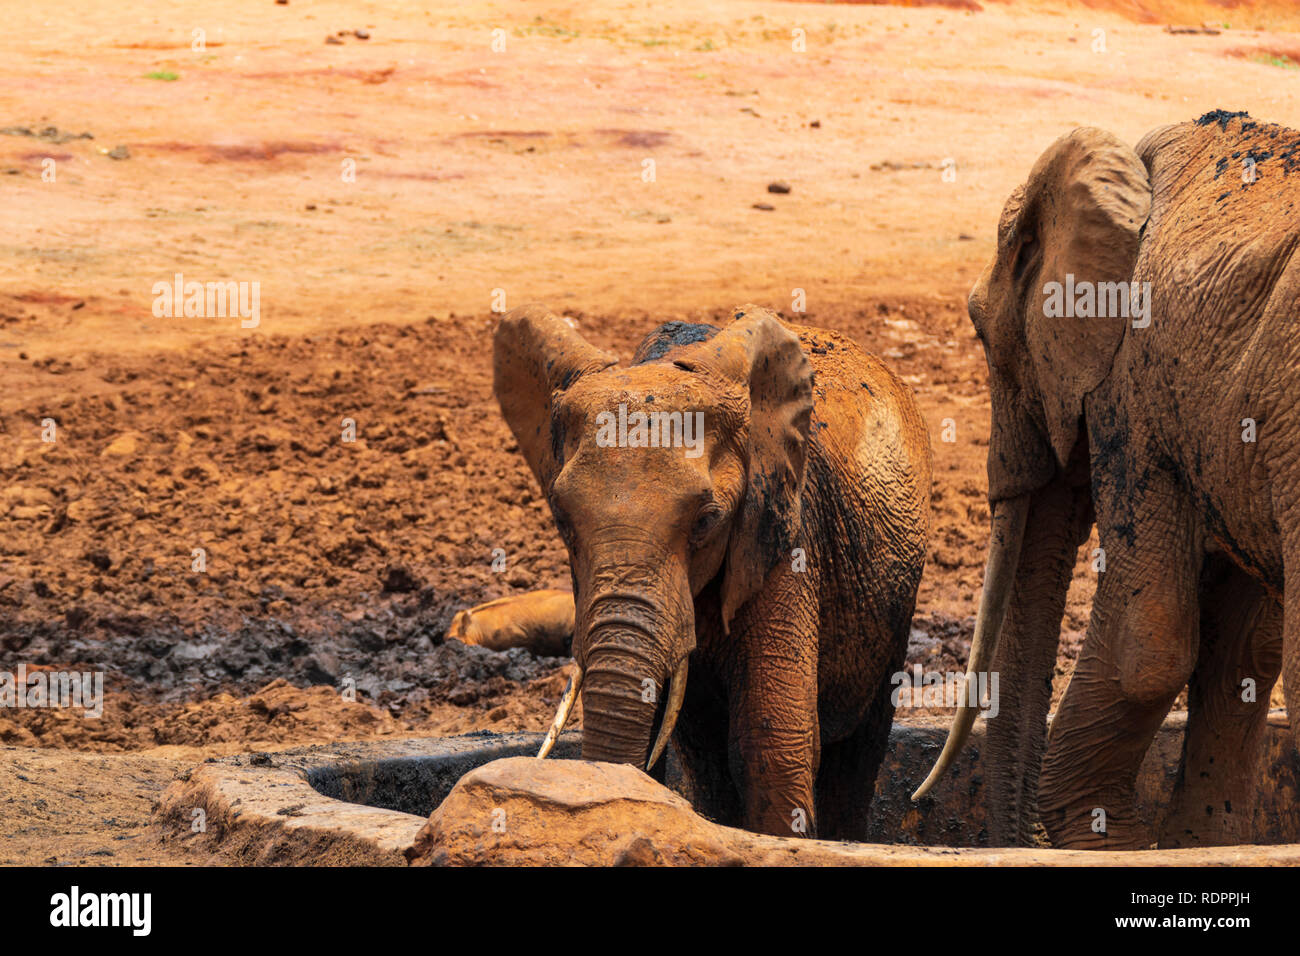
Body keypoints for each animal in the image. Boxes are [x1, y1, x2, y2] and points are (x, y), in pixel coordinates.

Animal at [914, 110, 1299, 850]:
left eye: (979, 330)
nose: (920, 799)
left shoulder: (1136, 387)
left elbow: (1146, 646)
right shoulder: (1227, 418)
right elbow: (1245, 651)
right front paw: (1197, 843)